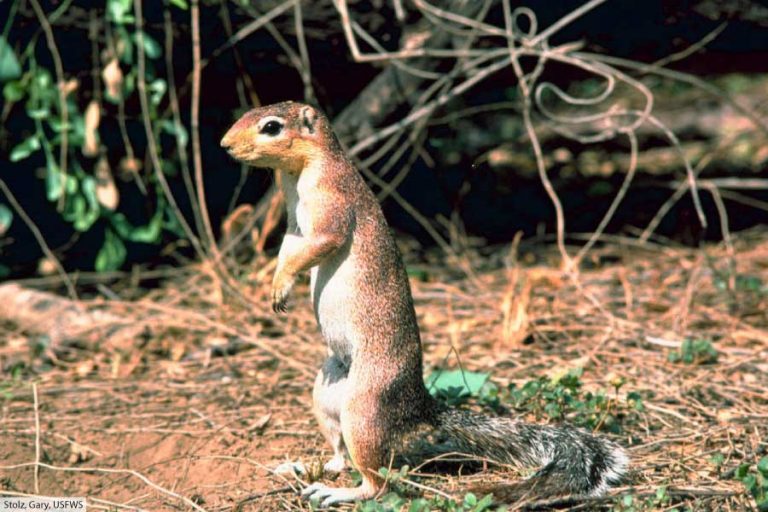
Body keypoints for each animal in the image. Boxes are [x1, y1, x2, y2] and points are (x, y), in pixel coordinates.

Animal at [220, 101, 628, 507]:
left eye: (271, 127)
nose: (225, 145)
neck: (301, 172)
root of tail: (419, 409)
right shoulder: (293, 224)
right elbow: (288, 249)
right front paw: (275, 285)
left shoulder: (332, 204)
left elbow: (320, 243)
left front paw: (282, 285)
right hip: (325, 396)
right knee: (341, 455)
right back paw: (306, 467)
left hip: (363, 411)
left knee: (377, 481)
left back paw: (338, 492)